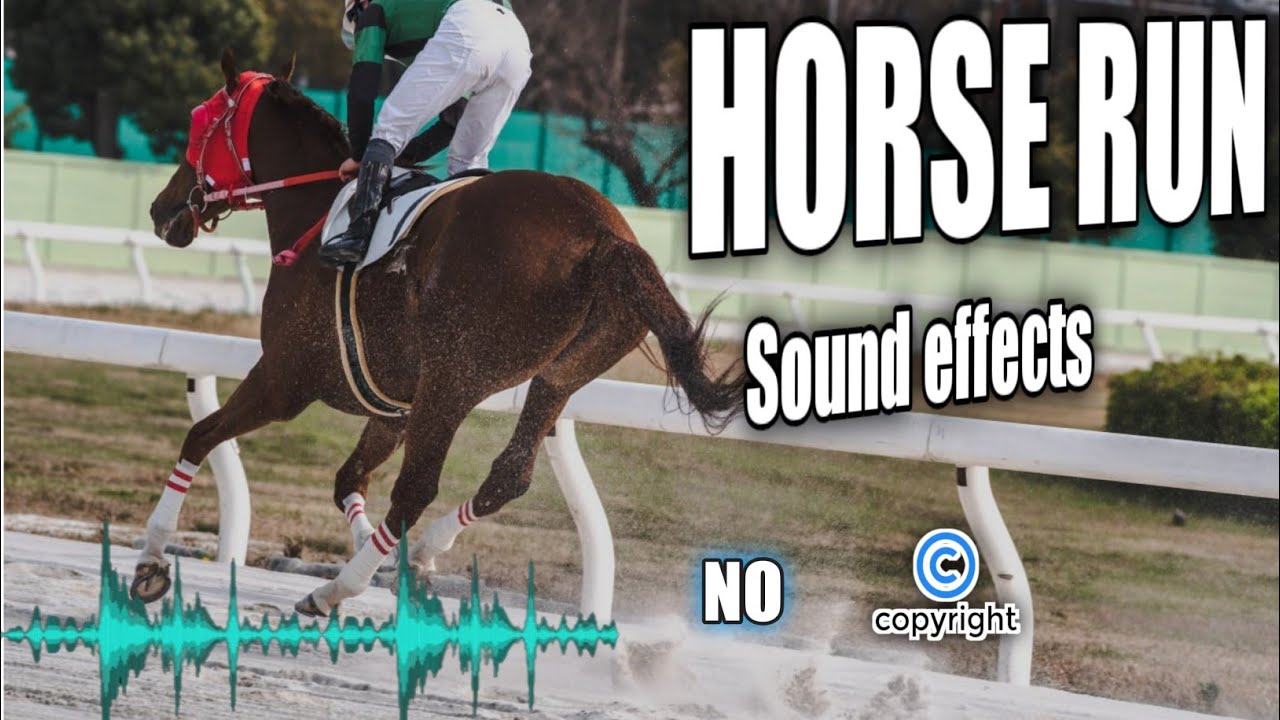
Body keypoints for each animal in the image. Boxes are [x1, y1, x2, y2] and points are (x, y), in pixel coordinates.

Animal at [138, 50, 745, 616]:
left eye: (197, 123)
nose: (162, 209)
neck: (316, 211)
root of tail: (605, 236)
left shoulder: (285, 381)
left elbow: (201, 436)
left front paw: (150, 562)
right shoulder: (392, 407)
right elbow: (348, 480)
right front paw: (397, 568)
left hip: (453, 379)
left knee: (417, 488)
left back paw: (333, 591)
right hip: (558, 373)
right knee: (508, 474)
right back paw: (418, 555)